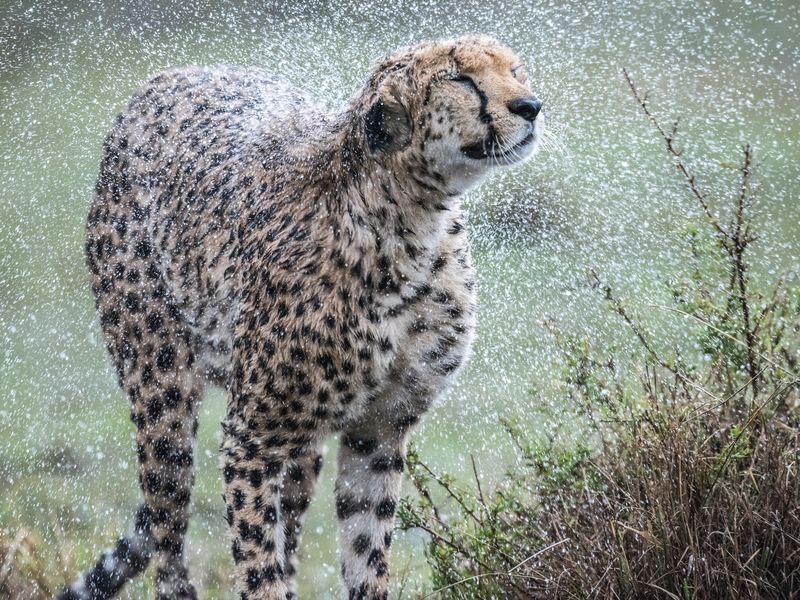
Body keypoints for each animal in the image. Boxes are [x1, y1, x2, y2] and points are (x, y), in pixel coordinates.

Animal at [56, 33, 544, 600]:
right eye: (460, 80)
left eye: (516, 70)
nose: (530, 106)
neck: (411, 221)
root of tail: (168, 77)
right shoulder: (250, 438)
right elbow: (257, 562)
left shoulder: (380, 429)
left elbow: (365, 548)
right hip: (161, 389)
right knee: (168, 535)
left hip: (302, 442)